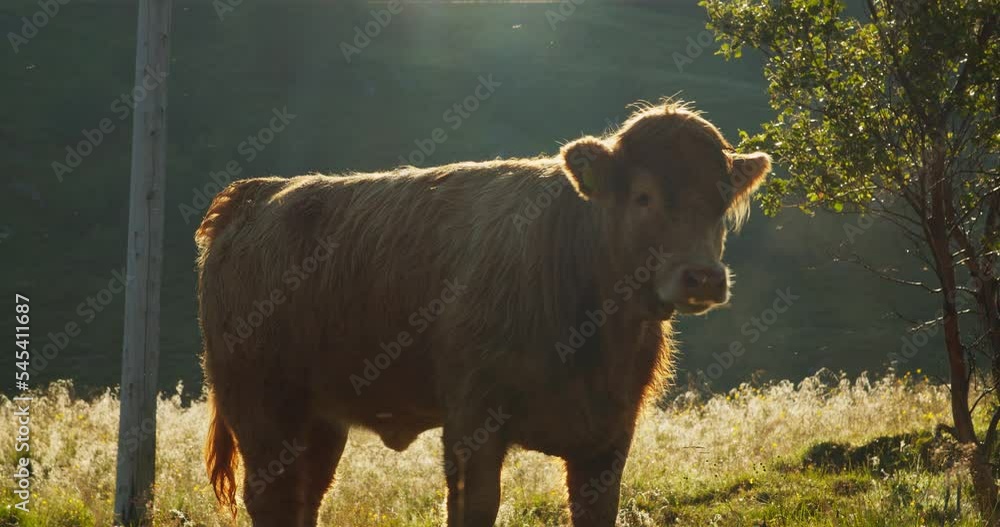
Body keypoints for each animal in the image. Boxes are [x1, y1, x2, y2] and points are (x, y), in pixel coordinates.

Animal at [195, 99, 771, 527]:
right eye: (644, 197)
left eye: (721, 202)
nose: (703, 277)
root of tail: (258, 195)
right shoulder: (473, 425)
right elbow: (475, 509)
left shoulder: (609, 437)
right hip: (262, 411)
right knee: (272, 501)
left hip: (319, 422)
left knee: (305, 500)